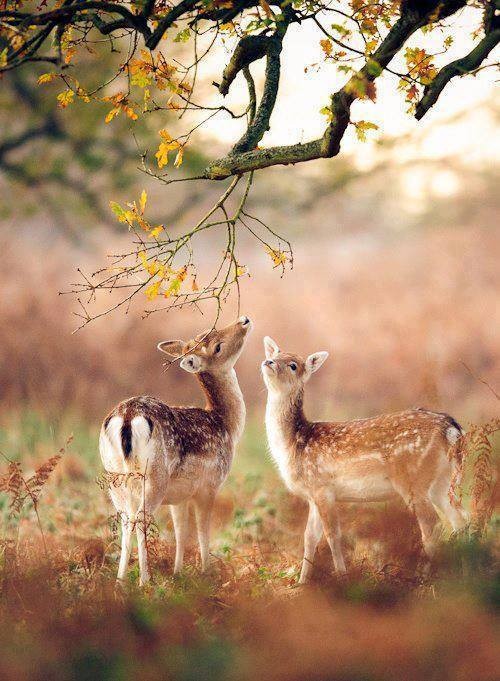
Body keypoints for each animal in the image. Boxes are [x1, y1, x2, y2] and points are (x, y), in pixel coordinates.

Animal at [99, 316, 252, 585]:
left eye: (210, 330)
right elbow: (202, 530)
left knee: (126, 519)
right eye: (217, 347)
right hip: (154, 476)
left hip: (114, 478)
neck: (225, 424)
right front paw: (205, 572)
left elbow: (180, 531)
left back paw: (120, 581)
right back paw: (145, 580)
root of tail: (126, 417)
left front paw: (178, 573)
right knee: (141, 518)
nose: (243, 320)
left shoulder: (179, 496)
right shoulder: (209, 485)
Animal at [261, 336, 468, 584]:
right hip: (441, 481)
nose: (268, 362)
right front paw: (302, 583)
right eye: (275, 353)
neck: (295, 443)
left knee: (432, 524)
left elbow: (332, 535)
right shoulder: (312, 494)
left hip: (413, 479)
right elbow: (309, 537)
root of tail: (452, 430)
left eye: (293, 365)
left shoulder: (322, 487)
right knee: (460, 518)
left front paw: (342, 577)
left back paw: (422, 577)